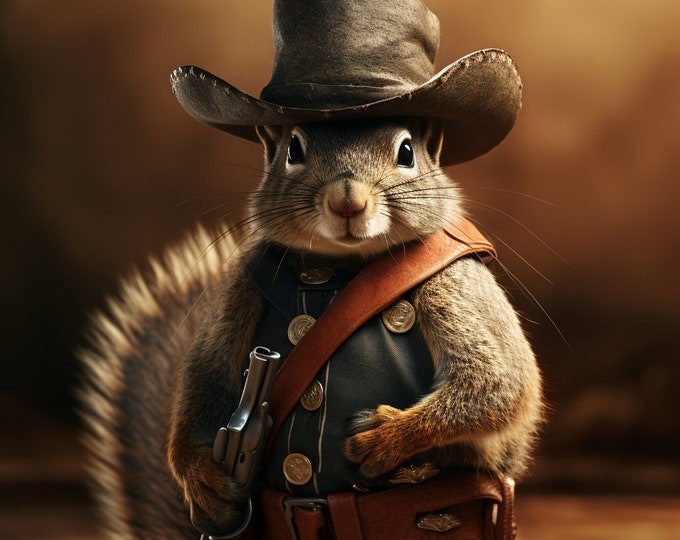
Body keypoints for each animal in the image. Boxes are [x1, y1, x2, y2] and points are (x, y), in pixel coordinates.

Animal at [78, 116, 543, 539]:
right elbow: (205, 375)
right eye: (294, 150)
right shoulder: (240, 287)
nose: (347, 202)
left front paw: (384, 436)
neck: (339, 268)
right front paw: (200, 477)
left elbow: (499, 381)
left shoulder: (457, 283)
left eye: (407, 152)